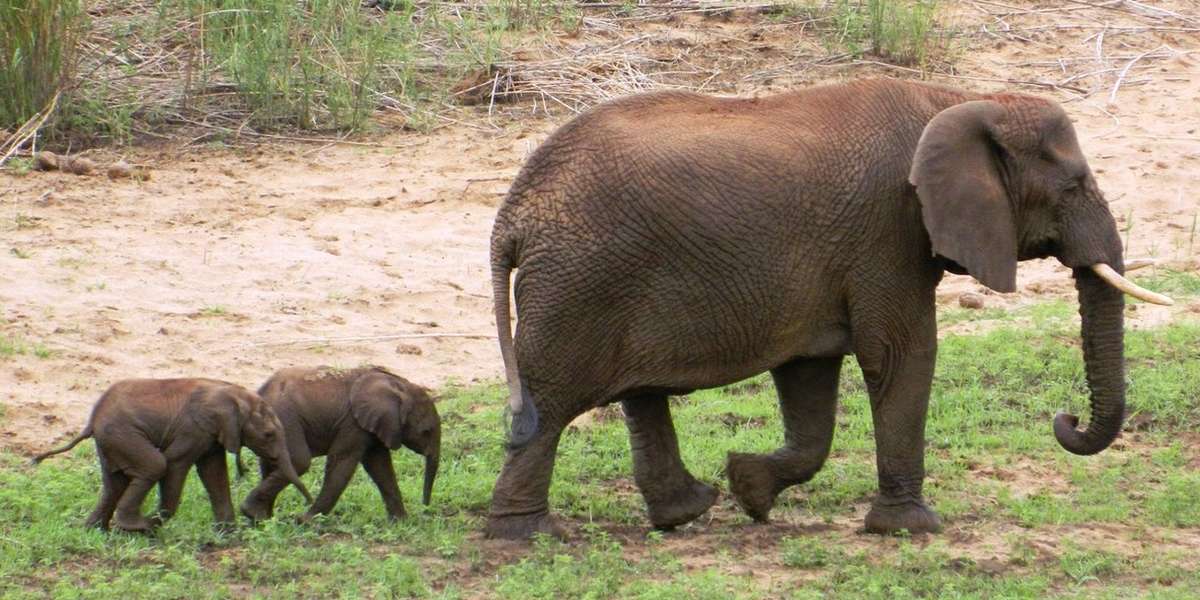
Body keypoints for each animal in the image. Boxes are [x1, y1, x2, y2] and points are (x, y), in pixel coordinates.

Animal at [31, 378, 312, 532]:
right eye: (268, 435)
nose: (306, 507)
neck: (236, 395)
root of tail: (91, 420)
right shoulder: (195, 427)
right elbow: (176, 463)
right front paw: (158, 522)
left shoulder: (211, 434)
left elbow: (214, 472)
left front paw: (228, 534)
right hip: (123, 434)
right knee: (155, 465)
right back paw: (137, 526)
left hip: (111, 441)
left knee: (114, 483)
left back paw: (96, 531)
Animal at [239, 366, 441, 522]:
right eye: (426, 431)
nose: (425, 509)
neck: (399, 385)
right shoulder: (352, 423)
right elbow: (342, 462)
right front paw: (306, 521)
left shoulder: (374, 424)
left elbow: (380, 466)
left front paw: (401, 522)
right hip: (284, 417)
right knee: (299, 462)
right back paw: (253, 514)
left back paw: (262, 519)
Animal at [484, 77, 1173, 540]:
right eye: (1074, 186)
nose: (1065, 419)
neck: (960, 99)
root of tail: (513, 214)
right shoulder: (888, 229)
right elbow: (902, 354)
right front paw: (912, 529)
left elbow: (809, 373)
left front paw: (750, 489)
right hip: (580, 285)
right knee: (551, 403)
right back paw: (527, 538)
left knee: (637, 393)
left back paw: (688, 511)